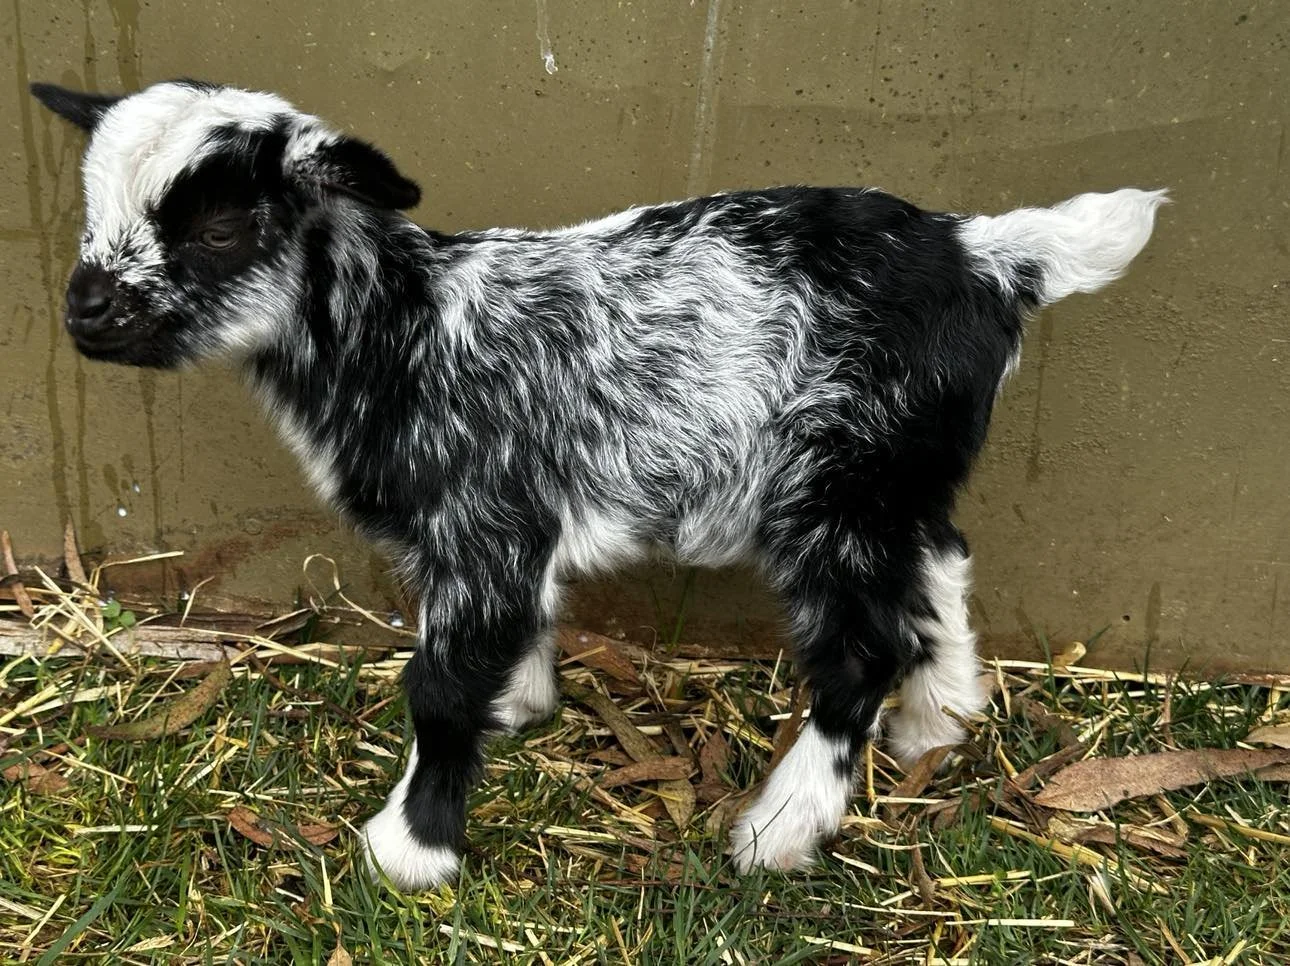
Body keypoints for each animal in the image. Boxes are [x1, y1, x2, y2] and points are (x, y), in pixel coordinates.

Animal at [31, 79, 1164, 890]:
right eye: (93, 209)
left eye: (220, 228)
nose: (85, 311)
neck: (404, 330)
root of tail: (989, 257)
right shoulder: (492, 532)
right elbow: (505, 636)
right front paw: (520, 707)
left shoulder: (483, 521)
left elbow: (438, 683)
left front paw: (411, 850)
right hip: (891, 480)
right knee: (941, 566)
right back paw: (941, 720)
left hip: (830, 485)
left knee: (862, 648)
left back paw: (779, 830)